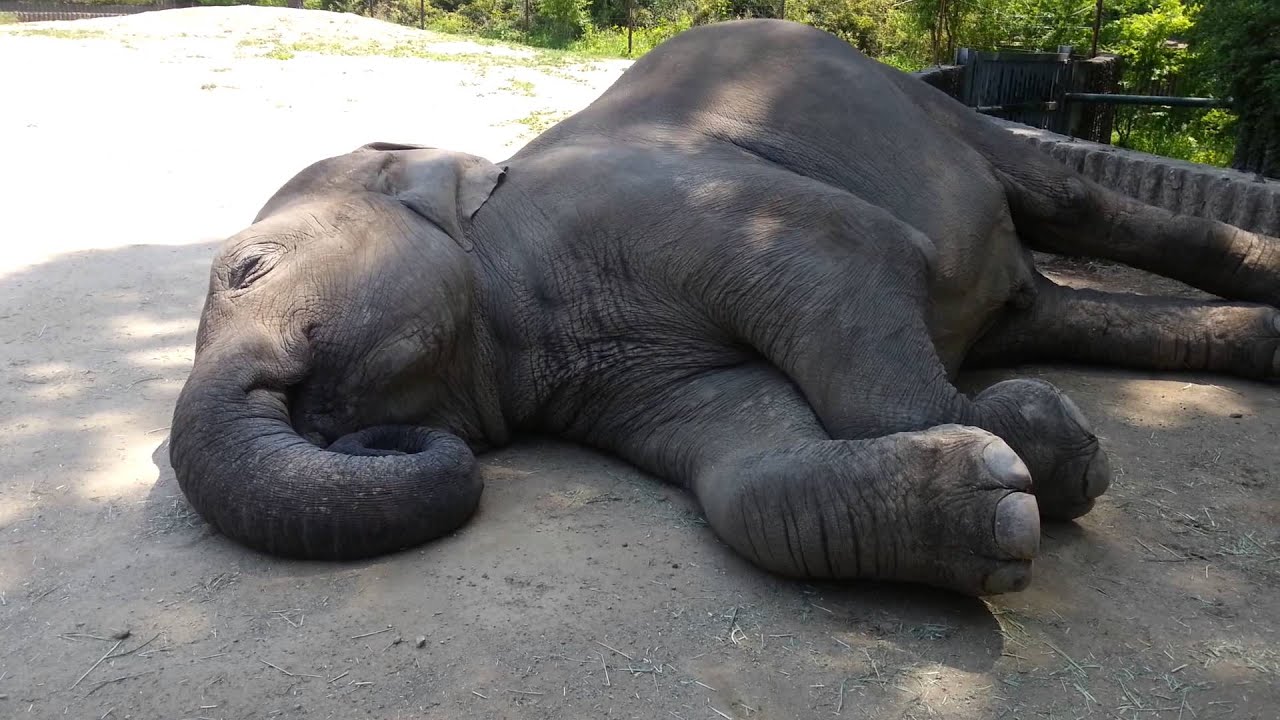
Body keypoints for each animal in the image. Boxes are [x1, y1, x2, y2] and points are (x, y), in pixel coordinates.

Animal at [170, 18, 1280, 597]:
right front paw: (1005, 501)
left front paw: (1042, 447)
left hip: (932, 107)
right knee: (1053, 307)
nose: (375, 438)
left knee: (1073, 206)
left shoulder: (671, 204)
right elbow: (745, 463)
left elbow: (853, 256)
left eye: (250, 269)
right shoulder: (612, 371)